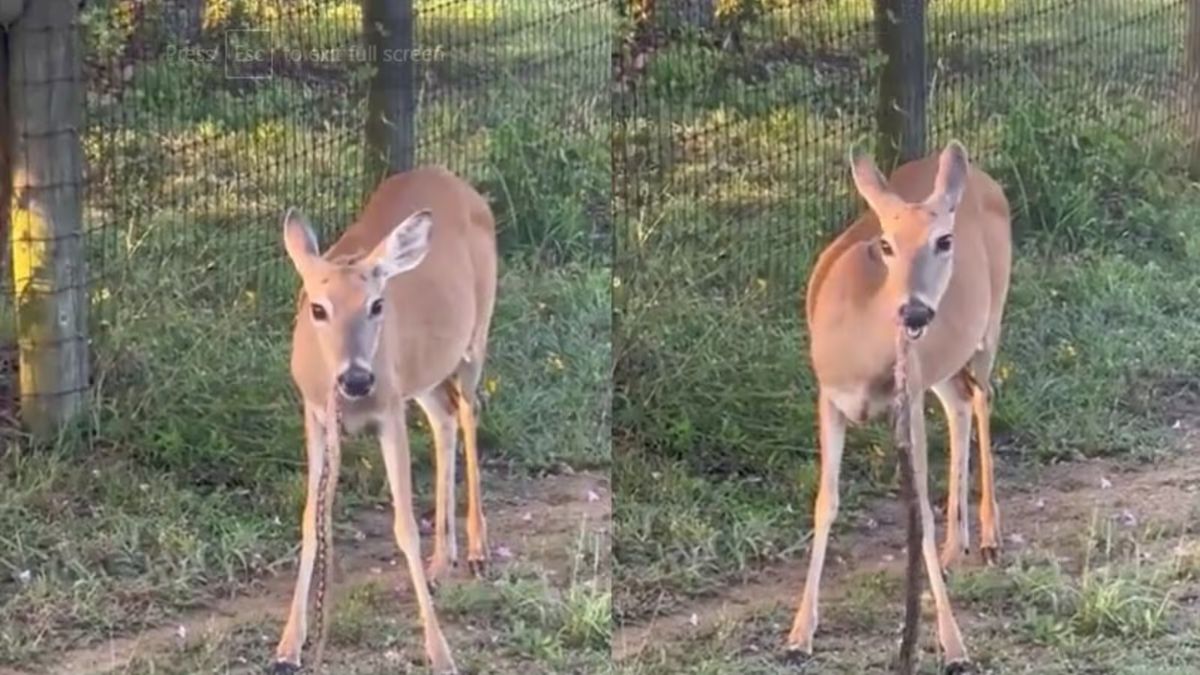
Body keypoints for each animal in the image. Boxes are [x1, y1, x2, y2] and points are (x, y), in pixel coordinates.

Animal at [271, 166, 497, 674]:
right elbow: (312, 522)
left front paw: (441, 653)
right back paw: (441, 563)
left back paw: (477, 549)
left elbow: (405, 526)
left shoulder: (389, 410)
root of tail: (455, 179)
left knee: (469, 410)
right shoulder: (317, 416)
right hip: (424, 372)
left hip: (475, 335)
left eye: (376, 305)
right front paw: (289, 645)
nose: (357, 378)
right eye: (317, 308)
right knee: (444, 417)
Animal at [787, 140, 1012, 670]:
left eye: (944, 240)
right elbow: (825, 501)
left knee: (983, 397)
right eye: (886, 244)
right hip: (942, 366)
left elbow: (920, 515)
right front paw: (799, 633)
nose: (914, 311)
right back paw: (954, 549)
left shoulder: (905, 400)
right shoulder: (828, 395)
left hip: (989, 322)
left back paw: (989, 537)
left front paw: (954, 646)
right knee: (960, 404)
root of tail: (982, 177)